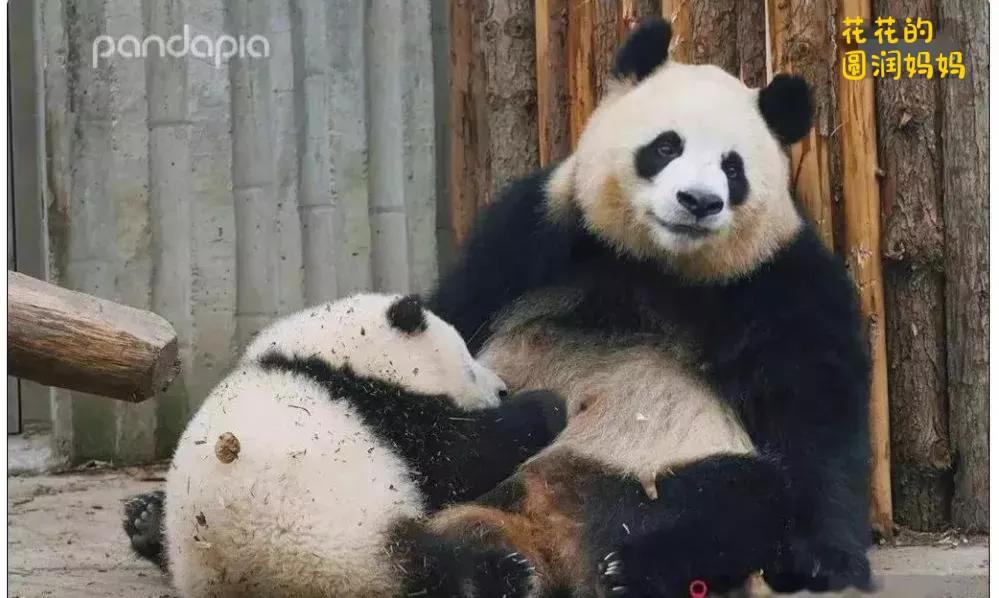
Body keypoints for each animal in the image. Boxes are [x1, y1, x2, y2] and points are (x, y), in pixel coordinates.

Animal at [123, 293, 566, 598]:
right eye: (469, 367)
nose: (502, 389)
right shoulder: (378, 410)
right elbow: (459, 455)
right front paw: (546, 406)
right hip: (344, 546)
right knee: (430, 568)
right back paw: (503, 574)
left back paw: (146, 521)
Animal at [427, 18, 872, 597]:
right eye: (666, 146)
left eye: (733, 168)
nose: (698, 202)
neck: (658, 263)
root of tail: (551, 540)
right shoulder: (532, 236)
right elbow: (454, 317)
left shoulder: (774, 276)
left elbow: (815, 406)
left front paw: (826, 562)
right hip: (483, 489)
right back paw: (488, 569)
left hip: (655, 469)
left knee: (745, 496)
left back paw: (632, 565)